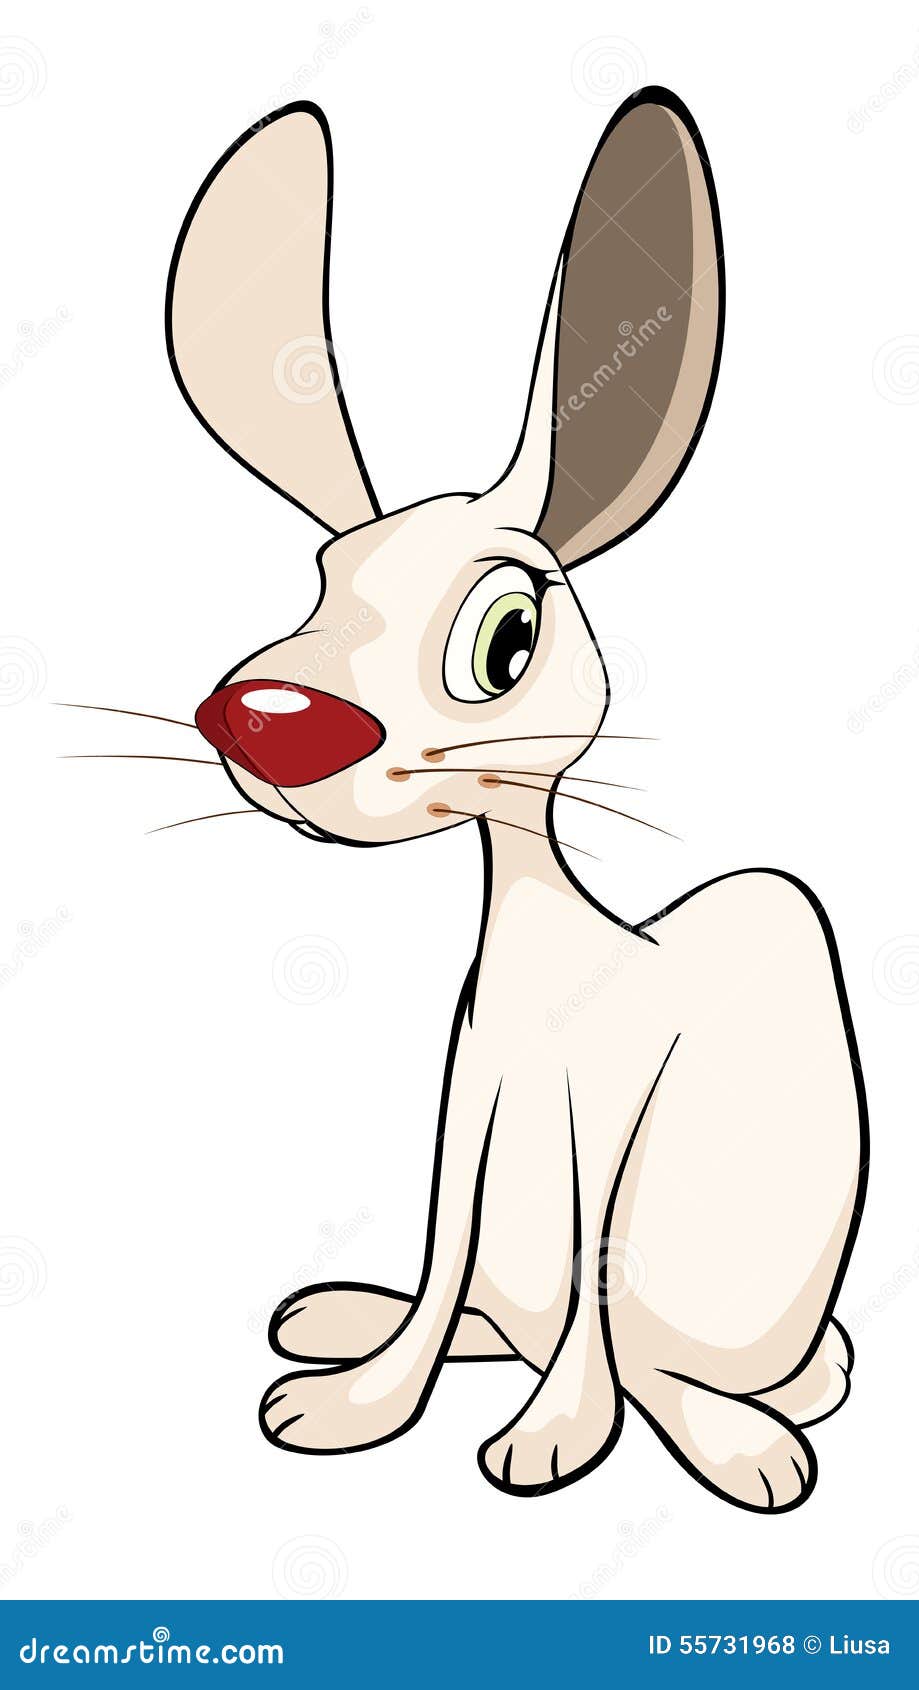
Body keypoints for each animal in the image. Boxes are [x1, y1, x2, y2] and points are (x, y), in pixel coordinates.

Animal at [166, 87, 867, 1507]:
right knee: (496, 1310)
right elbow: (441, 1261)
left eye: (507, 634)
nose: (267, 719)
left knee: (684, 1356)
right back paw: (345, 1318)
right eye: (320, 582)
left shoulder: (610, 1126)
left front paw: (556, 1438)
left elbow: (599, 1285)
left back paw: (743, 1438)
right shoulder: (470, 1097)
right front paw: (361, 1400)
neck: (550, 971)